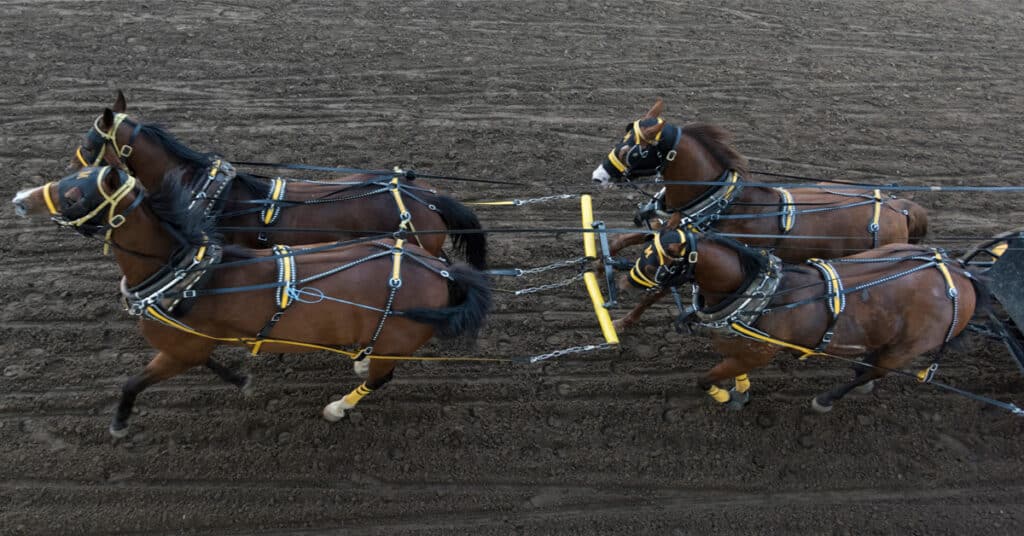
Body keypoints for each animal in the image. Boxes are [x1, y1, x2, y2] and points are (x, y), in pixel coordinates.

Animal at [12, 166, 492, 437]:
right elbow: (213, 364)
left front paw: (118, 424)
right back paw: (358, 358)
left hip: (399, 337)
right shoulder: (192, 345)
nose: (19, 199)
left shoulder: (180, 350)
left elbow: (133, 383)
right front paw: (241, 380)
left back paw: (338, 407)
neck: (189, 275)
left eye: (76, 194)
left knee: (383, 378)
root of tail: (443, 271)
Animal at [590, 99, 928, 329]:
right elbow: (623, 239)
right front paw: (594, 262)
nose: (597, 177)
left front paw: (622, 322)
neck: (722, 204)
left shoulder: (688, 258)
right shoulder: (674, 233)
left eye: (633, 151)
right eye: (621, 140)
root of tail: (900, 208)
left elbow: (655, 292)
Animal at [624, 212, 985, 412]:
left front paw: (724, 396)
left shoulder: (757, 353)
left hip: (907, 347)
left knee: (876, 371)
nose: (629, 280)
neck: (760, 294)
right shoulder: (737, 346)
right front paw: (740, 391)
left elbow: (705, 379)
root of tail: (959, 275)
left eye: (657, 259)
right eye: (647, 248)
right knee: (870, 366)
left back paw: (827, 399)